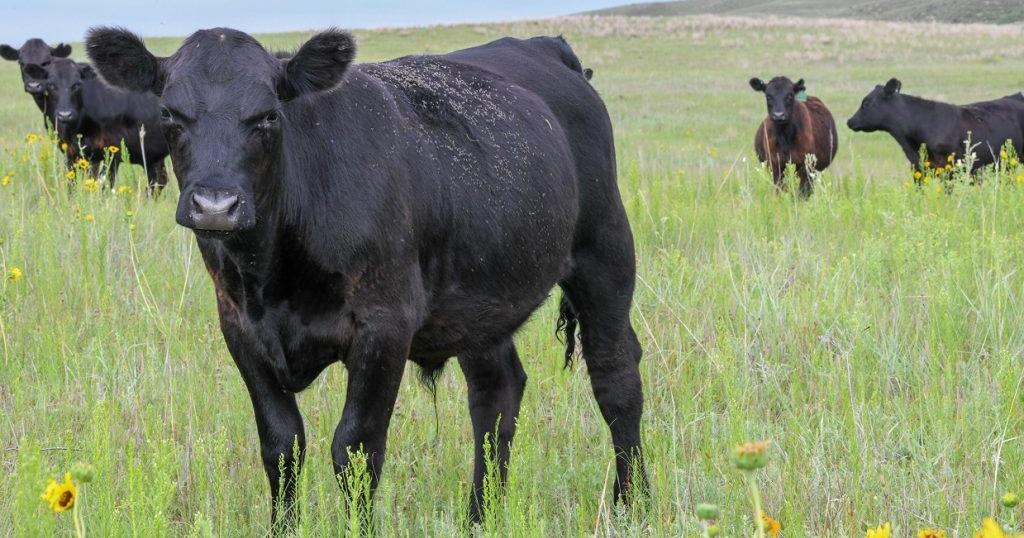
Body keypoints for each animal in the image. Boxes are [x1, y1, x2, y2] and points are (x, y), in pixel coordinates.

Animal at [42, 58, 169, 190]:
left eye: (76, 84)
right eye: (50, 84)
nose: (65, 114)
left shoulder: (113, 152)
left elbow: (105, 185)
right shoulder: (73, 154)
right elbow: (74, 185)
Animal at [86, 26, 645, 530]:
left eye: (268, 116)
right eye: (168, 114)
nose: (216, 205)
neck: (274, 275)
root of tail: (545, 47)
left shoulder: (384, 327)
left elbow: (355, 449)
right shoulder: (240, 327)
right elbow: (281, 445)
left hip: (605, 256)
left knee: (616, 378)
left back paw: (631, 505)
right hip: (480, 302)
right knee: (496, 395)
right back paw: (478, 517)